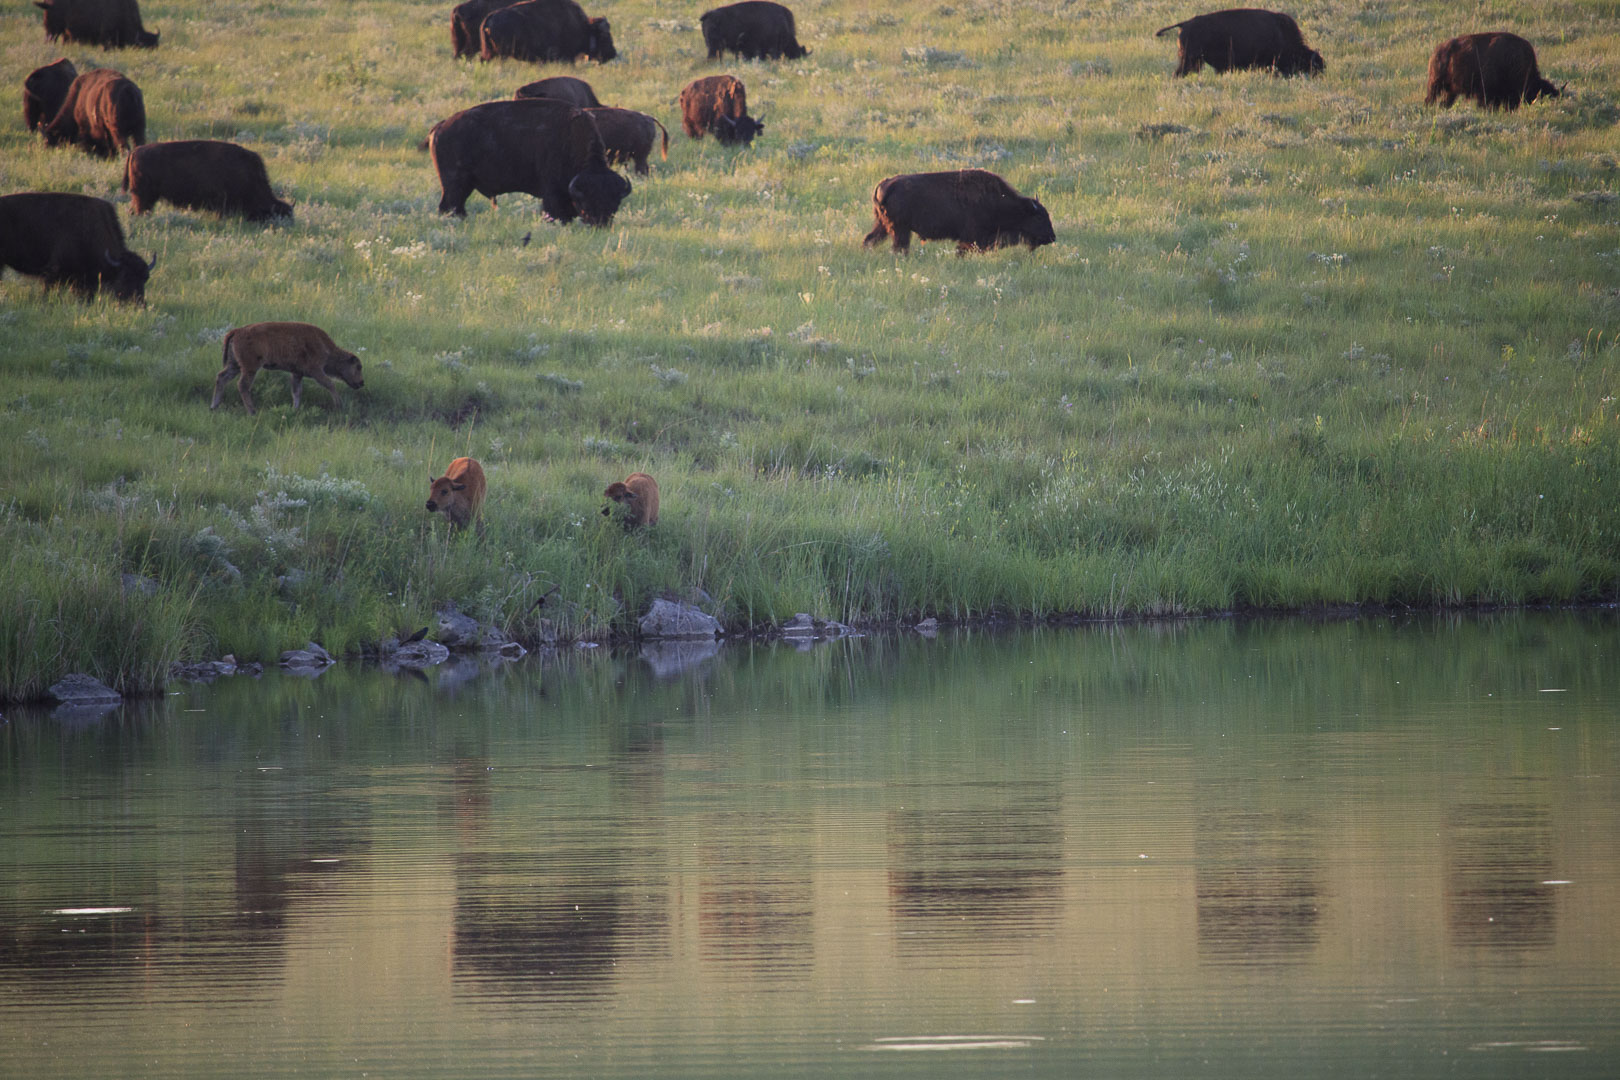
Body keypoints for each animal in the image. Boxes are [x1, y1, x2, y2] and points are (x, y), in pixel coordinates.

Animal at [427, 98, 631, 224]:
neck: (570, 137)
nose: (601, 225)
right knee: (449, 206)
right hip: (455, 184)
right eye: (588, 203)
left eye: (615, 204)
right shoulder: (552, 194)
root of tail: (441, 127)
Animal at [862, 170, 1055, 255]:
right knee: (899, 247)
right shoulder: (970, 238)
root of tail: (884, 185)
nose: (1052, 237)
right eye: (1039, 217)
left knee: (870, 240)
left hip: (883, 226)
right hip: (899, 230)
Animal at [1426, 33, 1561, 111]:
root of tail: (1436, 52)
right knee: (1430, 99)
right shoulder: (1485, 92)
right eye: (1533, 91)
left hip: (1451, 91)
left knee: (1445, 102)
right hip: (1435, 86)